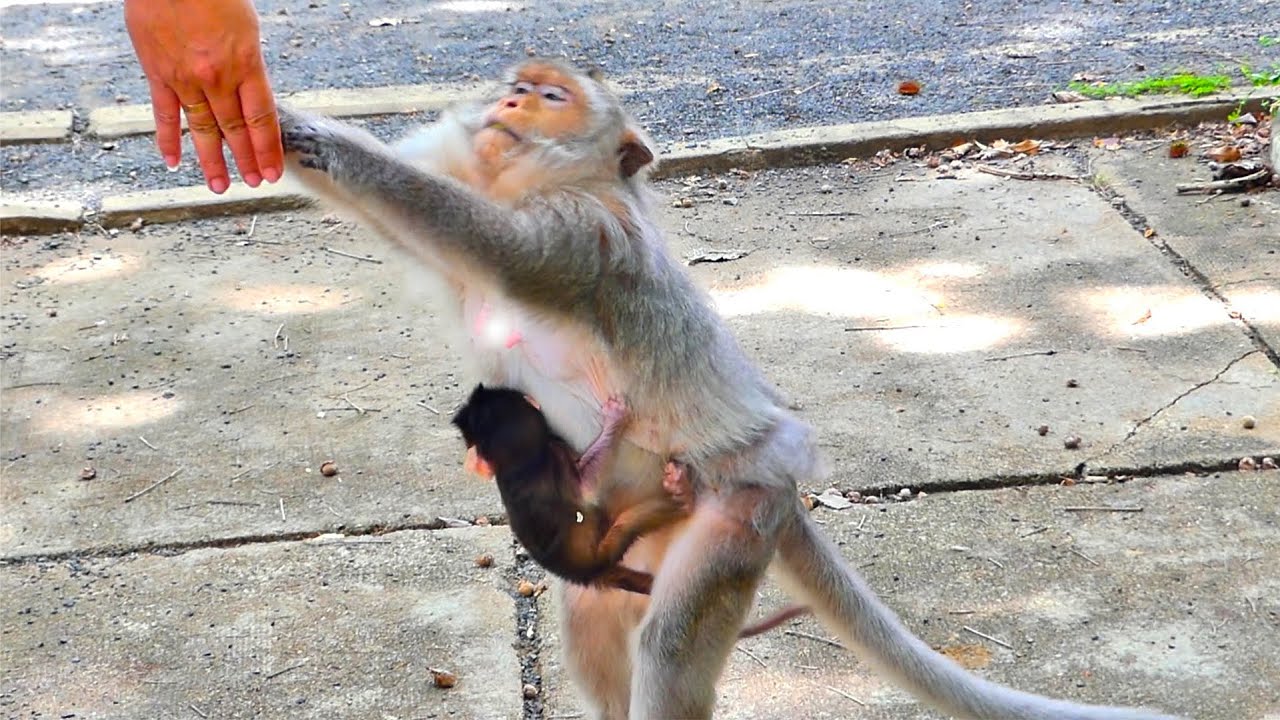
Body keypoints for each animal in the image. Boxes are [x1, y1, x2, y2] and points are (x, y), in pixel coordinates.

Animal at [276, 59, 1181, 720]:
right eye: (520, 84)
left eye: (552, 95)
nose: (512, 98)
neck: (541, 180)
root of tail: (774, 471)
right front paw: (279, 131)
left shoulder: (588, 240)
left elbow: (493, 245)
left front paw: (309, 134)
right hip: (630, 536)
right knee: (596, 622)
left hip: (735, 518)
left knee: (669, 647)